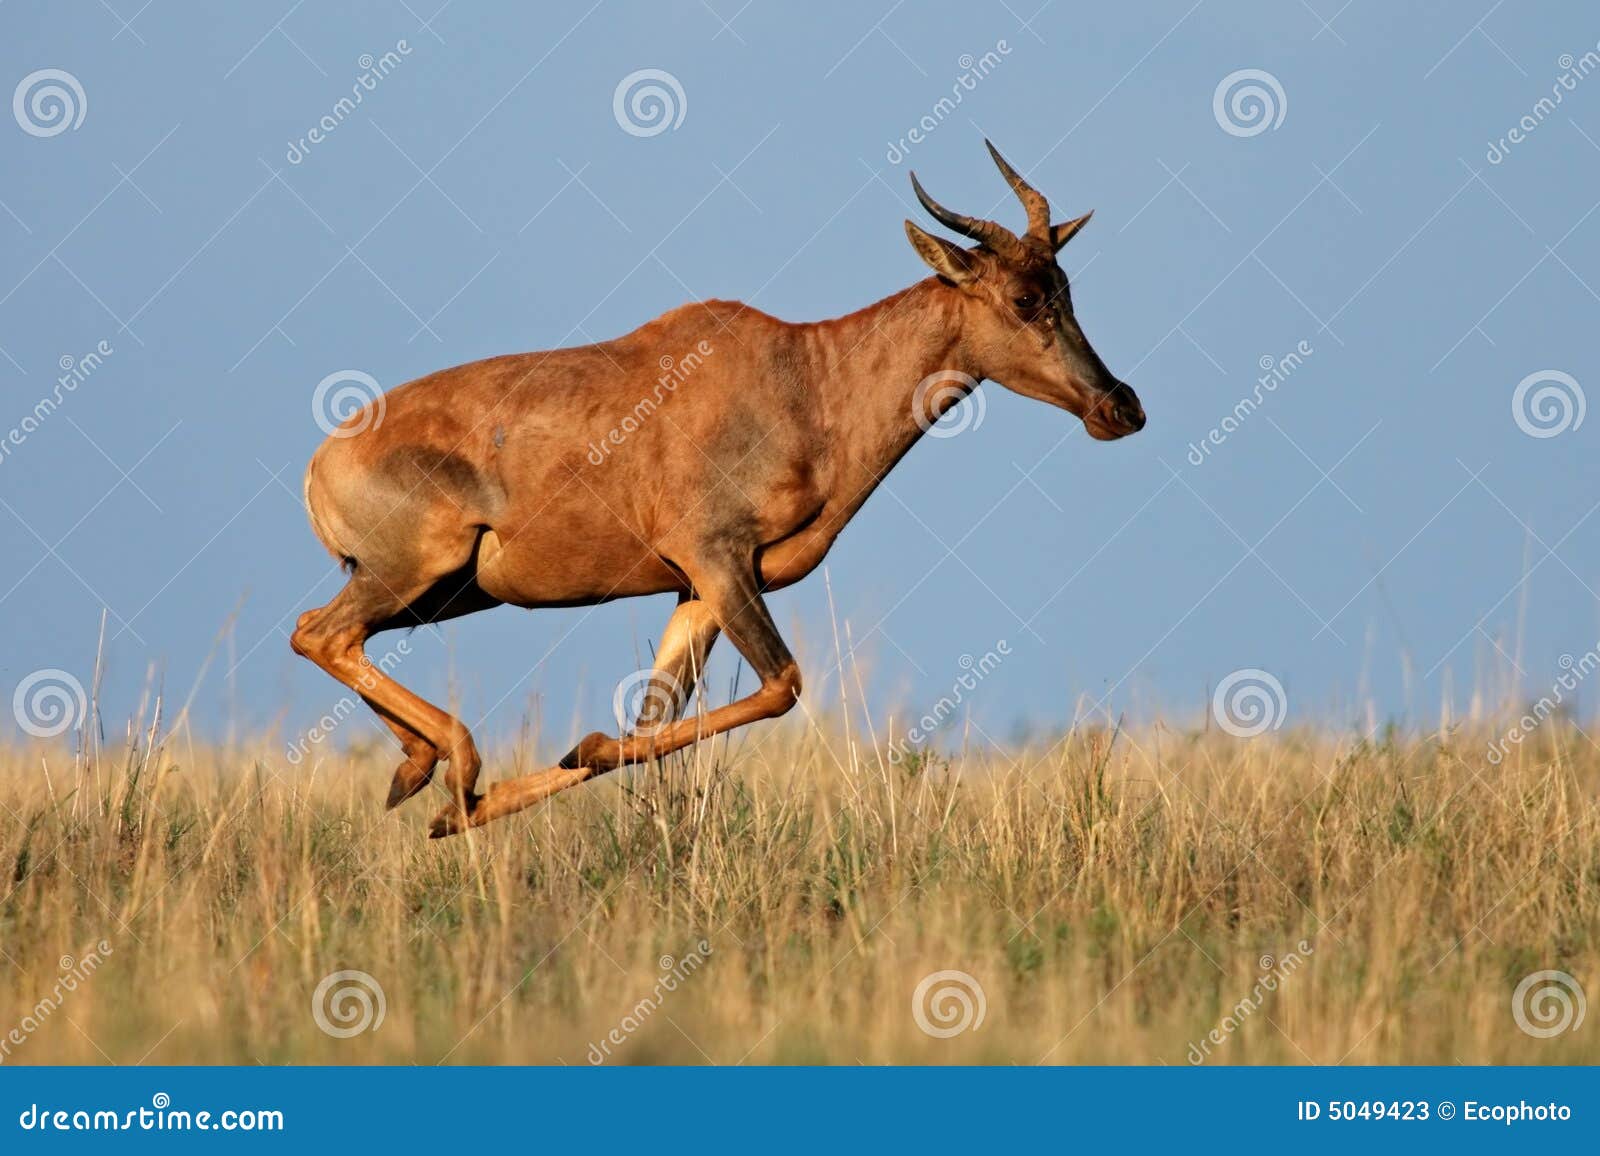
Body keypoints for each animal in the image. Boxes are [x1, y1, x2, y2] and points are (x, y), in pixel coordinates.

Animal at [292, 142, 1146, 837]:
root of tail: (321, 461)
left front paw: (531, 781)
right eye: (1024, 298)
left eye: (1066, 286)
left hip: (447, 592)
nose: (1120, 408)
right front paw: (553, 761)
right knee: (320, 634)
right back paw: (454, 767)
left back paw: (420, 773)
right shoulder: (720, 561)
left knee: (328, 633)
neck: (804, 377)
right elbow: (781, 686)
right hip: (419, 571)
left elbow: (649, 723)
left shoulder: (696, 590)